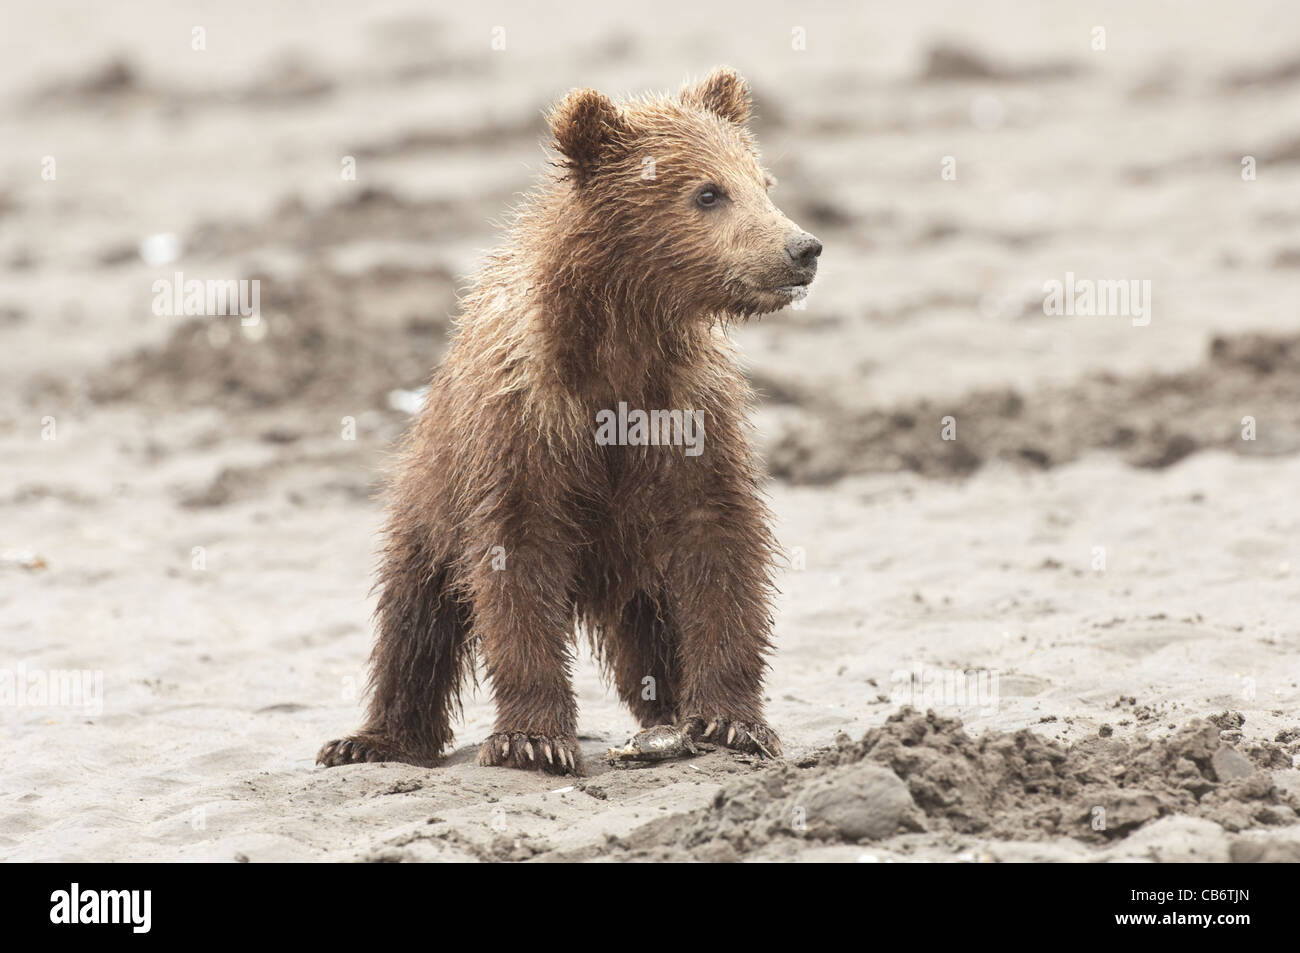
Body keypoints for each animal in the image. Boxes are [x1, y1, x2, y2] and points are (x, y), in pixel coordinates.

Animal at [316, 67, 821, 776]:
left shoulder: (688, 420)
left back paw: (667, 719)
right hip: (429, 494)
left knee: (653, 633)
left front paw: (732, 721)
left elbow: (721, 548)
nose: (802, 248)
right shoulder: (524, 428)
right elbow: (515, 562)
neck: (620, 348)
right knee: (414, 615)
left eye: (762, 181)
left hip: (637, 572)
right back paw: (373, 738)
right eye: (707, 192)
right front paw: (533, 738)